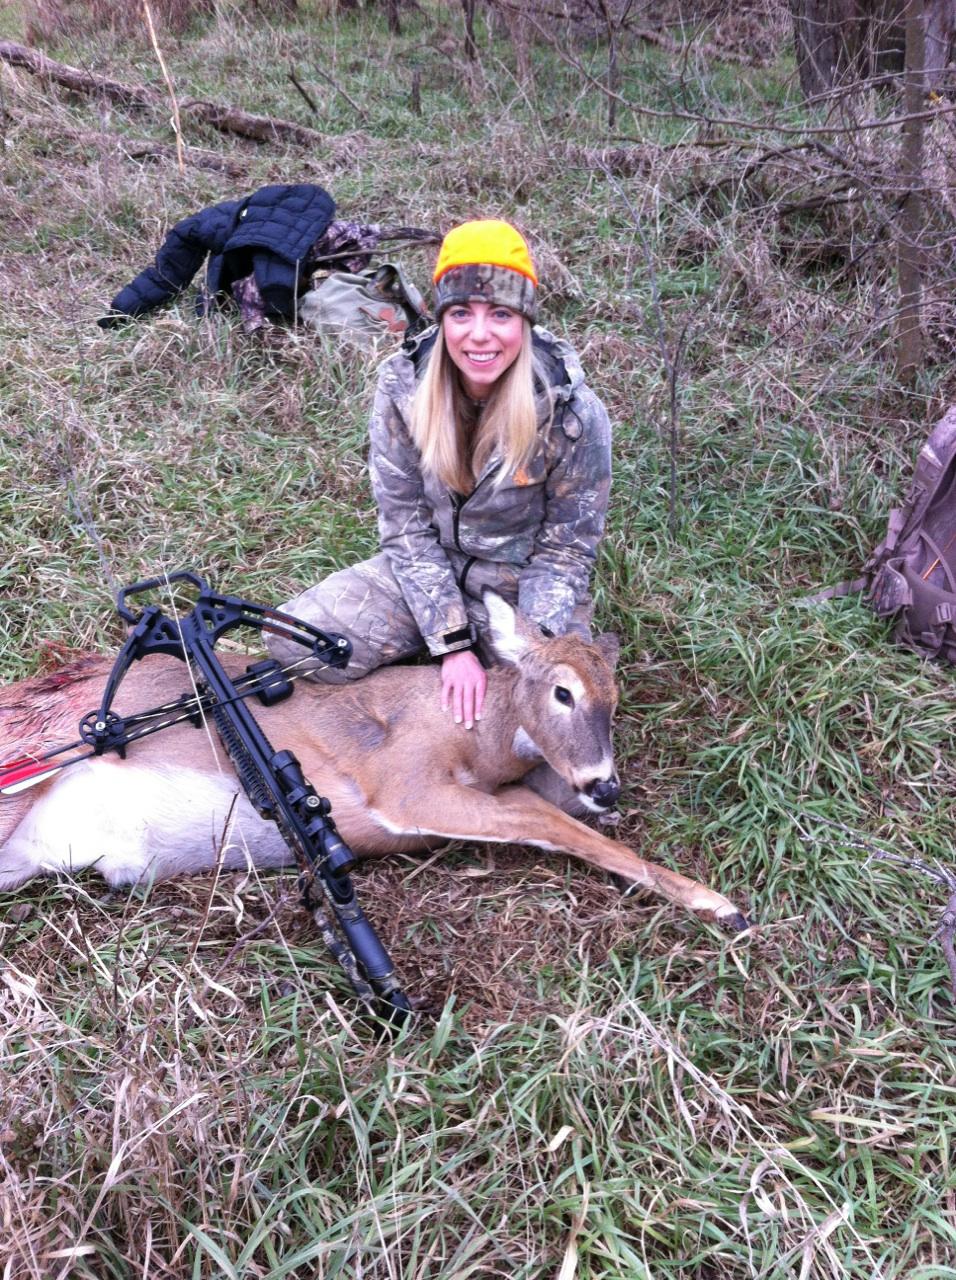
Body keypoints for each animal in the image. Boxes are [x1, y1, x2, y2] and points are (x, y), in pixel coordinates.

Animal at [0, 594, 748, 932]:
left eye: (615, 699)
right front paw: (722, 904)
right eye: (563, 690)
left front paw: (714, 901)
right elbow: (550, 829)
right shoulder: (404, 784)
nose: (606, 785)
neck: (480, 739)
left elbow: (570, 829)